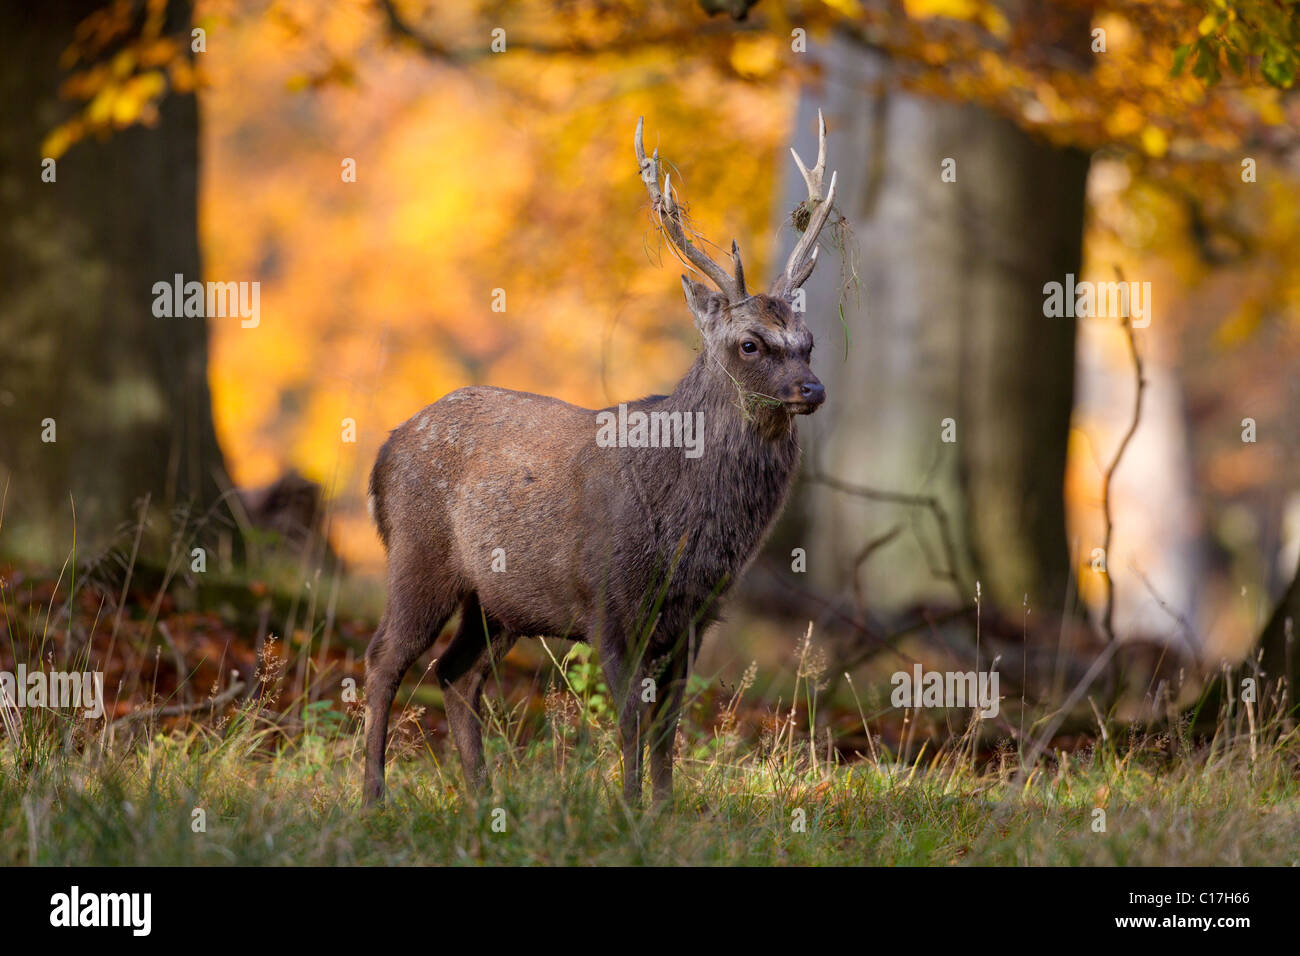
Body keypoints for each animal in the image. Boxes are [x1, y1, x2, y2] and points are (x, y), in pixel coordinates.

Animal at [363, 113, 838, 807]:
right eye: (751, 343)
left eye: (807, 342)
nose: (813, 389)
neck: (685, 528)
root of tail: (382, 453)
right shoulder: (609, 604)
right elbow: (630, 723)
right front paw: (629, 809)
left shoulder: (695, 617)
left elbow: (669, 726)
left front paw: (664, 811)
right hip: (419, 558)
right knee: (384, 660)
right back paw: (373, 797)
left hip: (498, 601)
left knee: (455, 674)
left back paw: (483, 800)